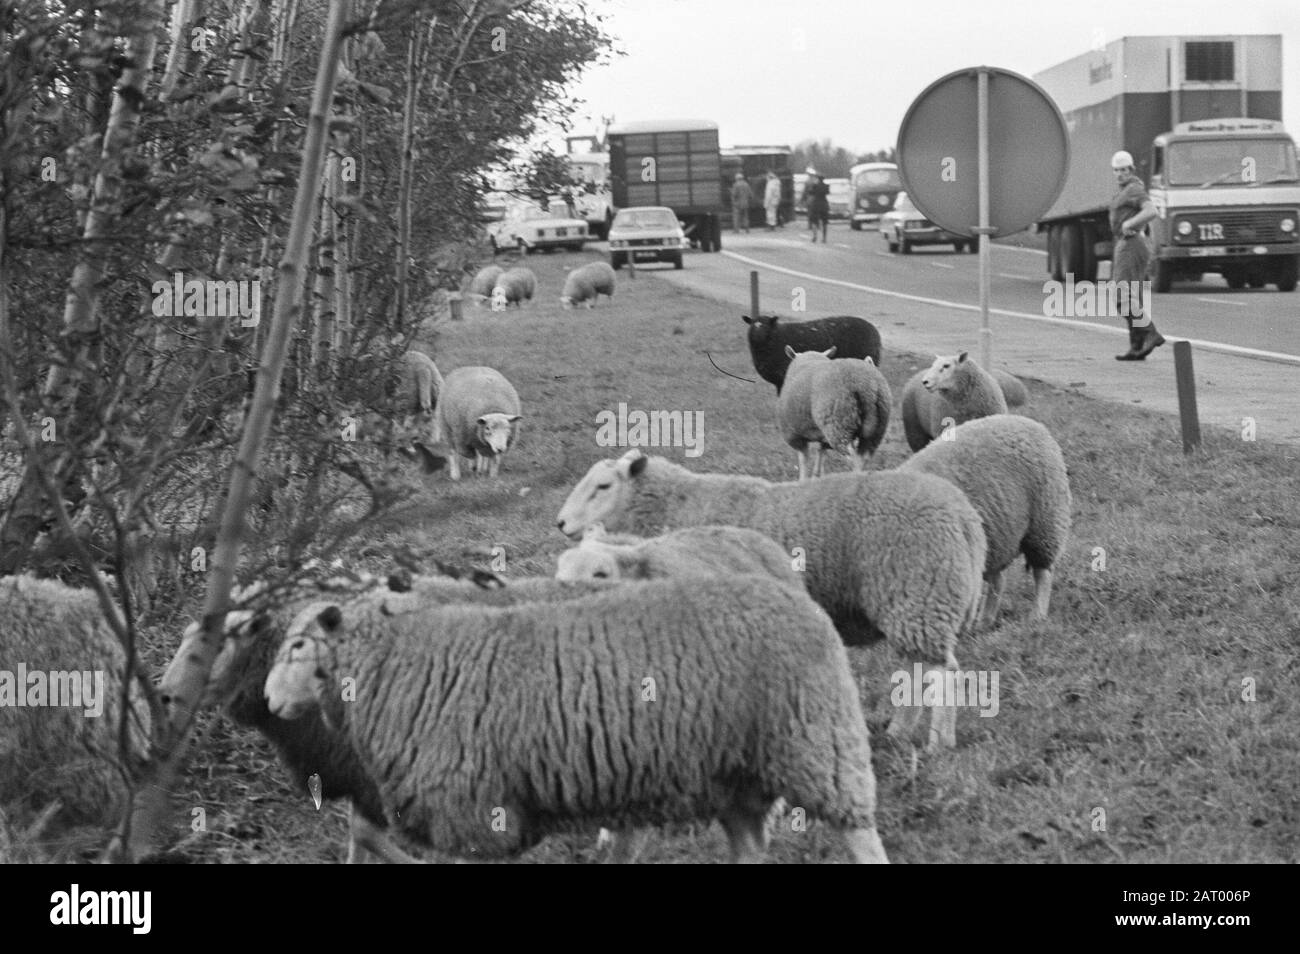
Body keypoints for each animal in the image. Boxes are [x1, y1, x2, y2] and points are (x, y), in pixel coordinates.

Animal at [263, 576, 891, 864]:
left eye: (298, 646)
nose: (268, 700)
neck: (395, 660)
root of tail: (805, 603)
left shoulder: (474, 810)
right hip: (737, 775)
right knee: (750, 845)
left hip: (818, 745)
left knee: (860, 832)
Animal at [778, 346, 891, 480]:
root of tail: (866, 386)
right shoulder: (823, 438)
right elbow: (821, 453)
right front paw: (817, 476)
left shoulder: (794, 434)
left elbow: (804, 459)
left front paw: (803, 480)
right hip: (876, 429)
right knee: (863, 457)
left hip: (839, 425)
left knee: (852, 457)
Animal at [899, 414, 1072, 626]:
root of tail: (1029, 422)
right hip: (995, 539)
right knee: (998, 580)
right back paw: (985, 620)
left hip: (1044, 525)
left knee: (1042, 573)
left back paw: (1037, 614)